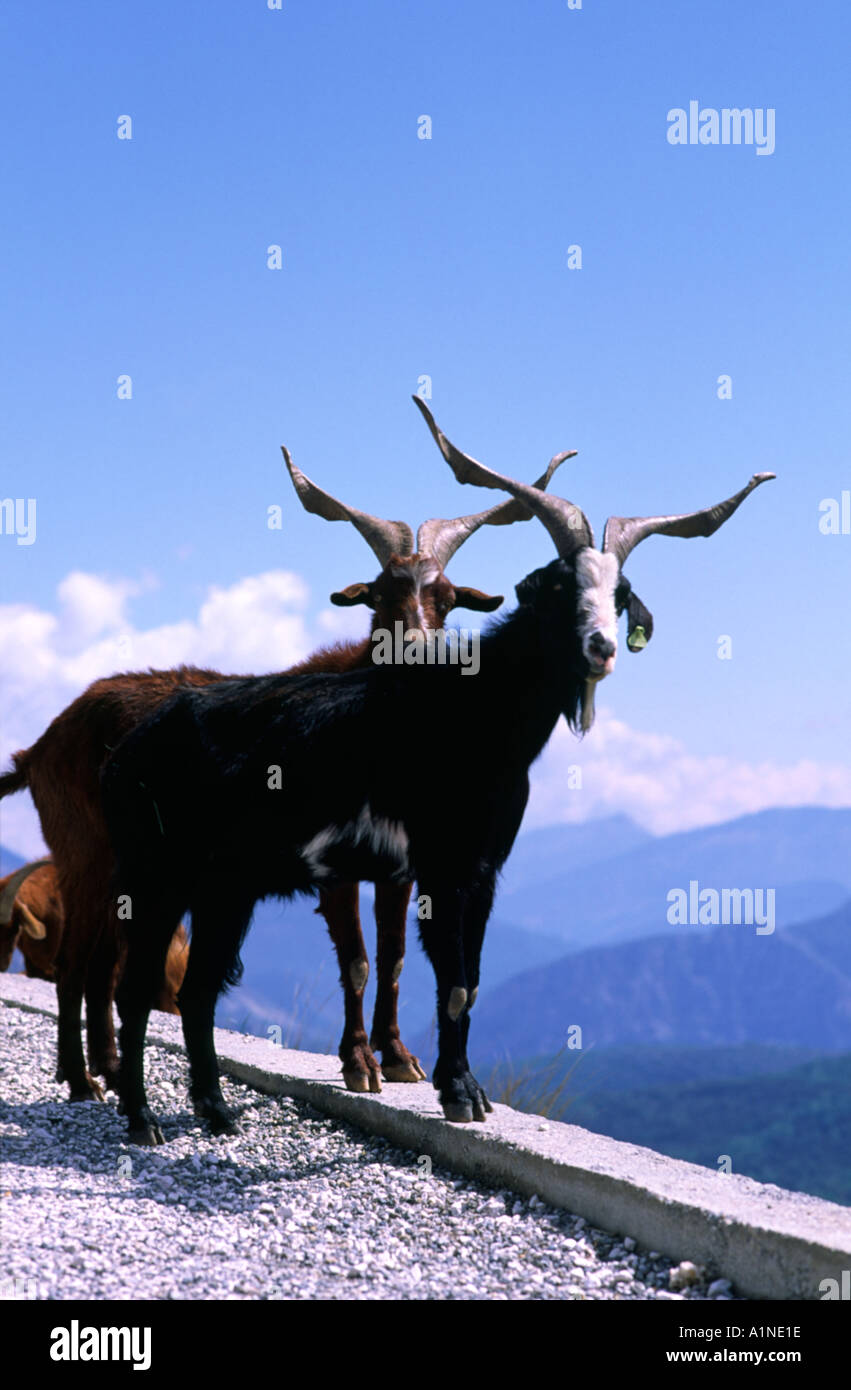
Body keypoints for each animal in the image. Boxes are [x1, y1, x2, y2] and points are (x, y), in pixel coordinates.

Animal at [98, 401, 774, 1142]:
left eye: (619, 595)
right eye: (559, 586)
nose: (600, 650)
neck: (473, 709)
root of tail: (132, 745)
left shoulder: (480, 869)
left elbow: (466, 979)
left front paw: (463, 1090)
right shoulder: (440, 863)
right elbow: (446, 975)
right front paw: (457, 1093)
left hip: (227, 884)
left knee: (197, 990)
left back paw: (217, 1113)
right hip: (158, 871)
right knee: (137, 987)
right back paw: (142, 1121)